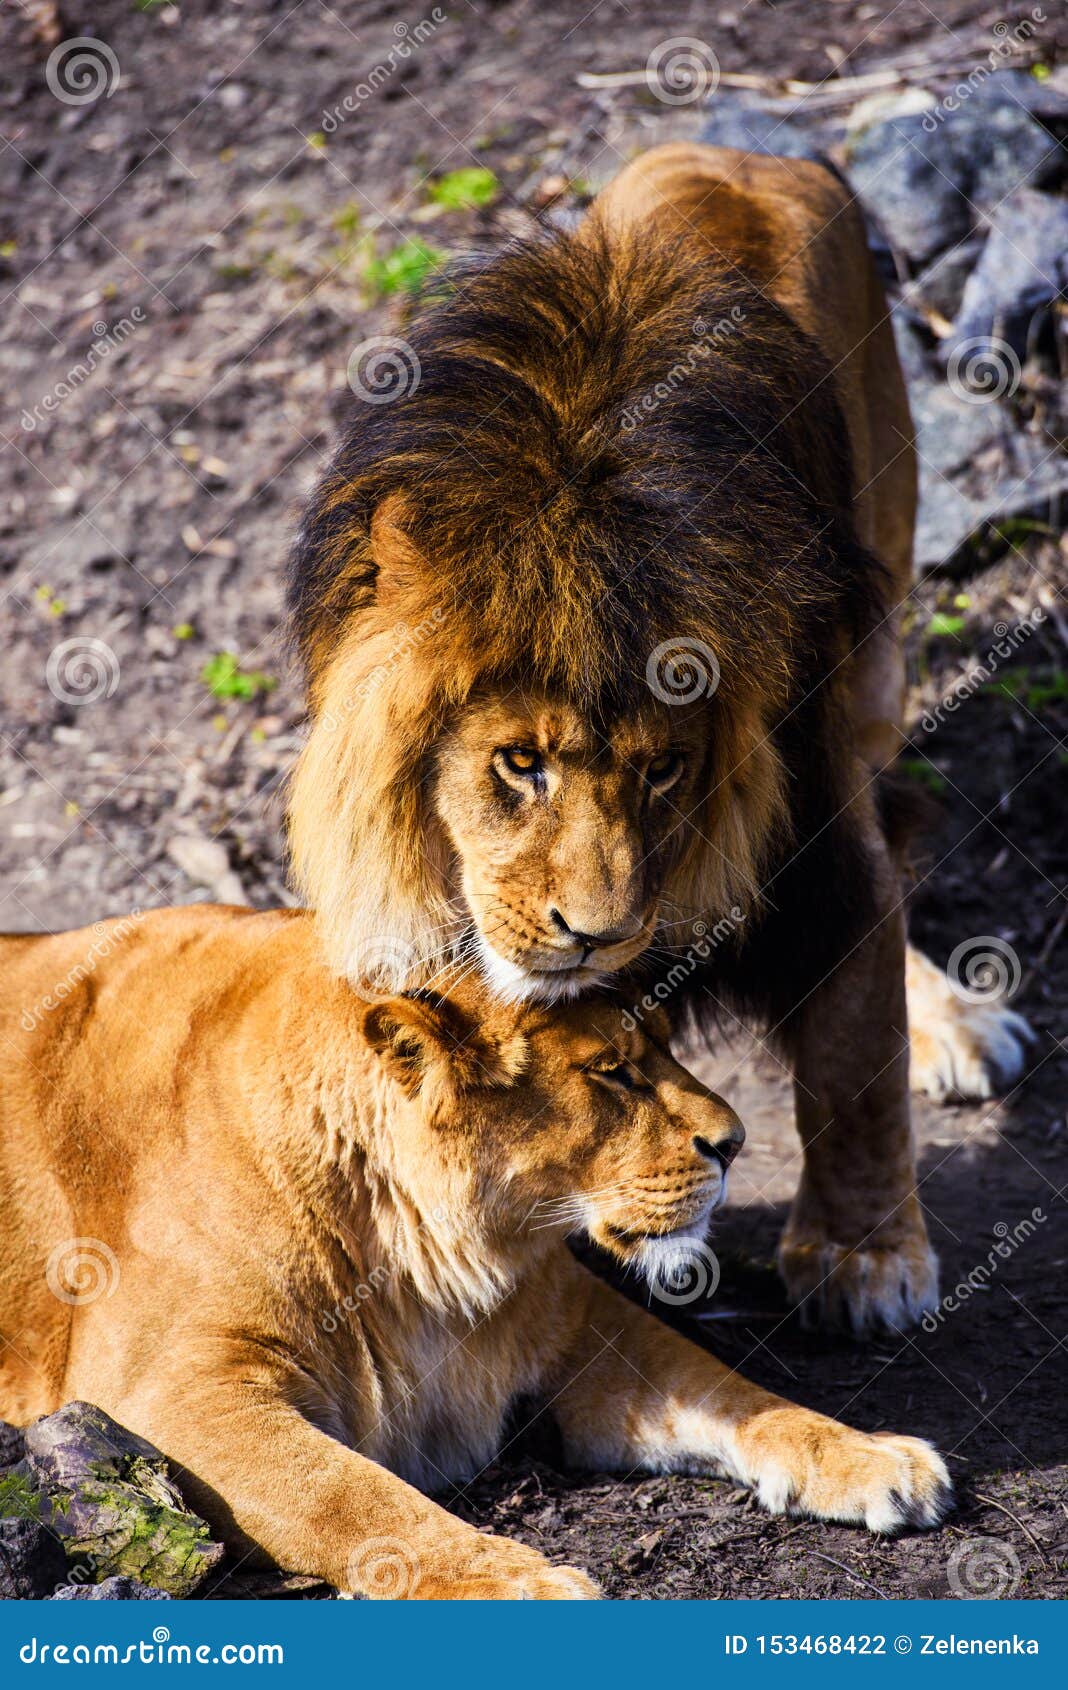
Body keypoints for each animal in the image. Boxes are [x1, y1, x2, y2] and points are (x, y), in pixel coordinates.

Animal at [0, 906, 951, 1598]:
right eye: (612, 1071)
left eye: (666, 1047)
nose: (736, 1142)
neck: (431, 1262)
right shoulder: (167, 1391)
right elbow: (353, 1498)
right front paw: (524, 1588)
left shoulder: (578, 1321)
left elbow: (736, 1392)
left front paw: (872, 1454)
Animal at [287, 143, 1032, 1335]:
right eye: (520, 762)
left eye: (667, 770)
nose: (595, 934)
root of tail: (749, 152)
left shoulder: (817, 838)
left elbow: (853, 1057)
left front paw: (867, 1258)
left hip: (877, 647)